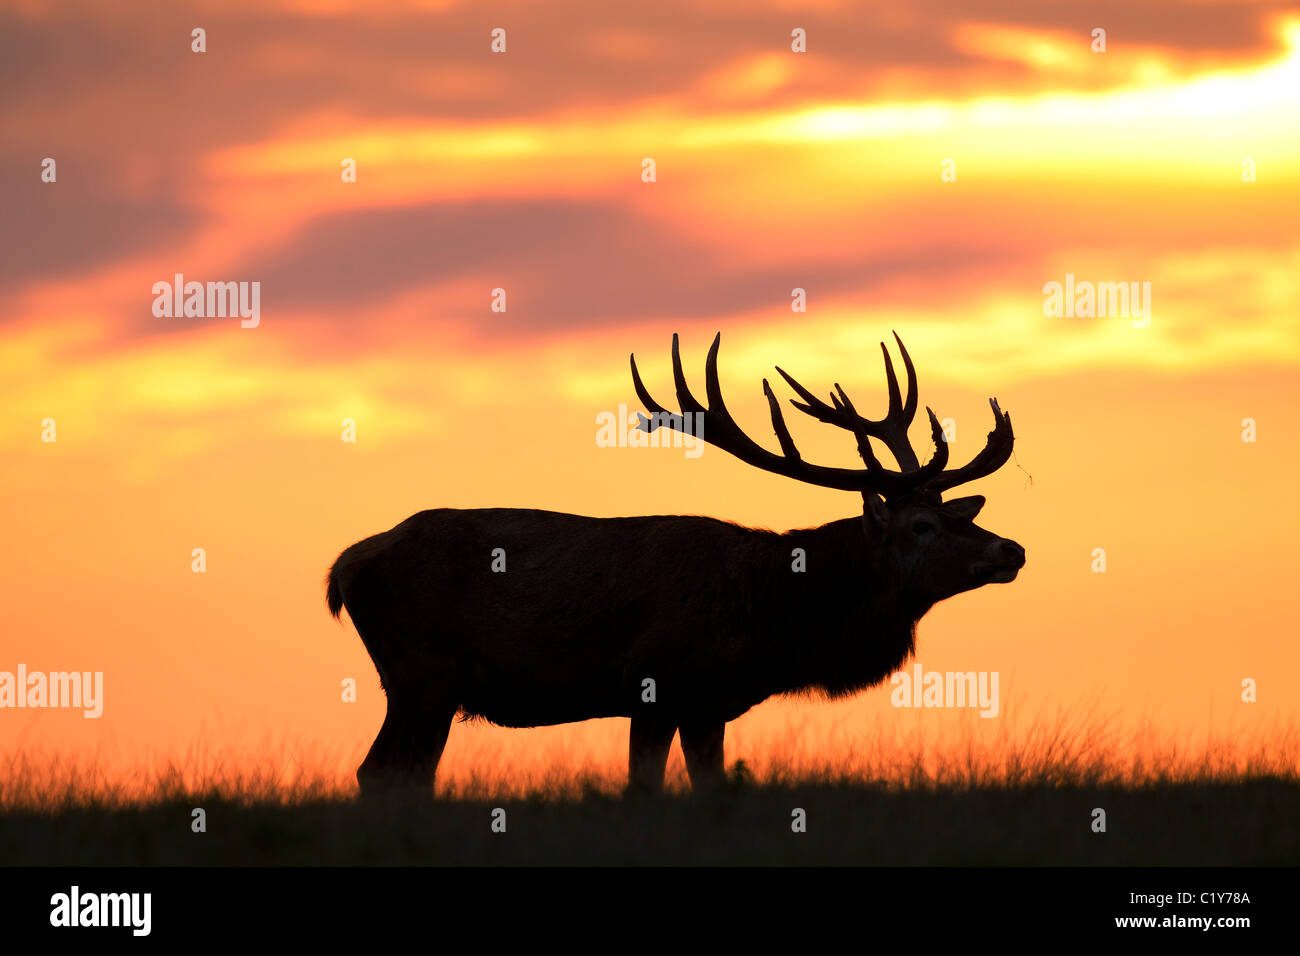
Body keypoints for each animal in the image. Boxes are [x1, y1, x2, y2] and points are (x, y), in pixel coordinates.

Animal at [326, 332, 1025, 796]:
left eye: (958, 514)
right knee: (380, 771)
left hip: (424, 685)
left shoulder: (706, 705)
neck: (769, 619)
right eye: (921, 526)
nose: (1011, 549)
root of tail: (345, 569)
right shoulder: (655, 682)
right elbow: (644, 786)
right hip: (421, 671)